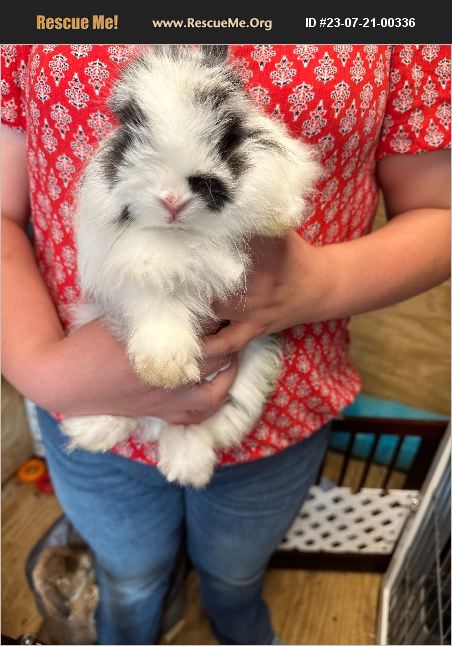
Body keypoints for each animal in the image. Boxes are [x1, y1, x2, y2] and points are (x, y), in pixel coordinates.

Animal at [61, 45, 320, 488]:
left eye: (228, 133)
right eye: (130, 131)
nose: (171, 199)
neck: (186, 234)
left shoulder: (273, 161)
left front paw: (280, 219)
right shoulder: (138, 273)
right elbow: (160, 313)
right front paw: (164, 371)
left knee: (191, 428)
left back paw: (187, 467)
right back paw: (92, 430)